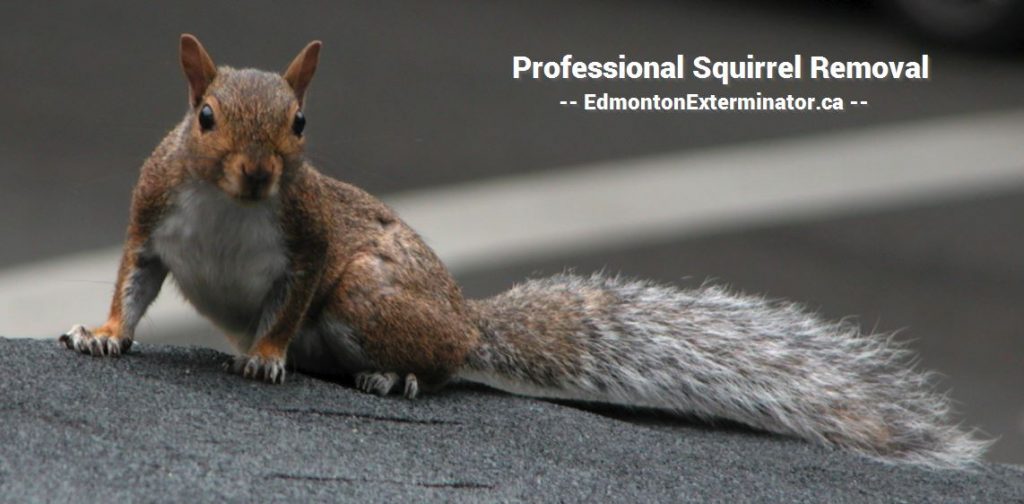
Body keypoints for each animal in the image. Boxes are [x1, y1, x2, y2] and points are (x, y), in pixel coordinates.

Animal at [59, 34, 987, 470]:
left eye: (300, 125)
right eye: (205, 118)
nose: (258, 175)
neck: (230, 205)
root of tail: (469, 322)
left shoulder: (313, 242)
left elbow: (288, 304)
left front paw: (264, 355)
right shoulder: (153, 219)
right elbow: (133, 283)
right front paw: (100, 334)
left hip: (370, 295)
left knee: (434, 363)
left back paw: (393, 376)